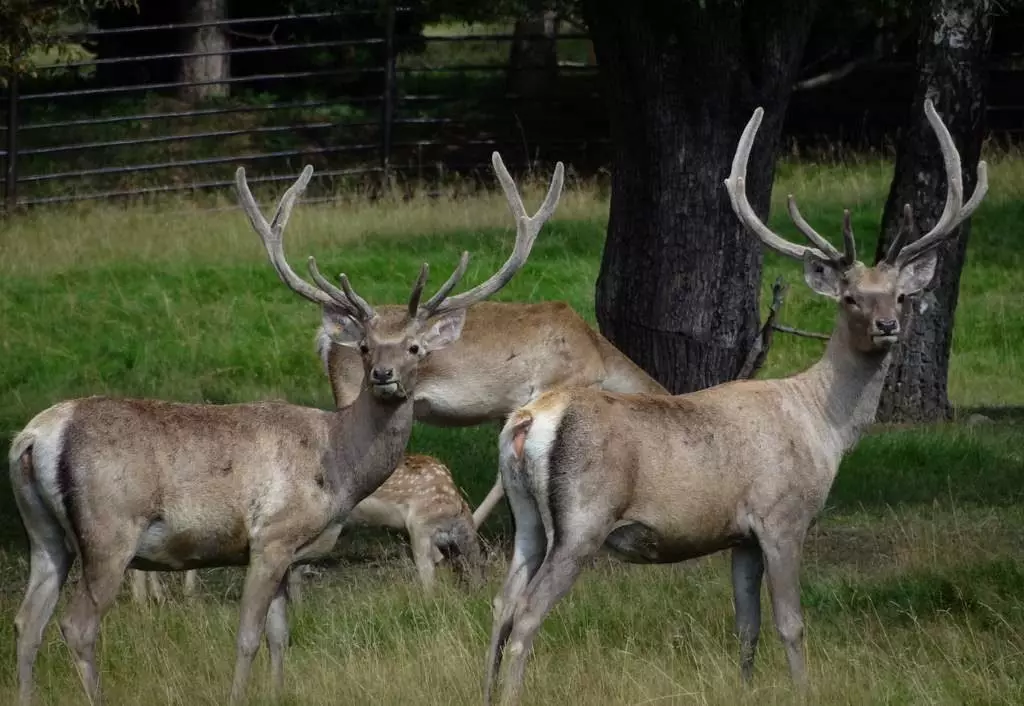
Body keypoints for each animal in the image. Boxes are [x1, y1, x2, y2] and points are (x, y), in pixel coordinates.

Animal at [483, 99, 987, 704]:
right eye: (849, 297)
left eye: (902, 295)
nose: (887, 325)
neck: (822, 425)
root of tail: (528, 419)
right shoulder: (782, 516)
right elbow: (790, 623)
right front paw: (803, 689)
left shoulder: (739, 535)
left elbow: (746, 625)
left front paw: (746, 686)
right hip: (584, 515)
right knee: (529, 613)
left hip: (526, 516)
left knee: (501, 603)